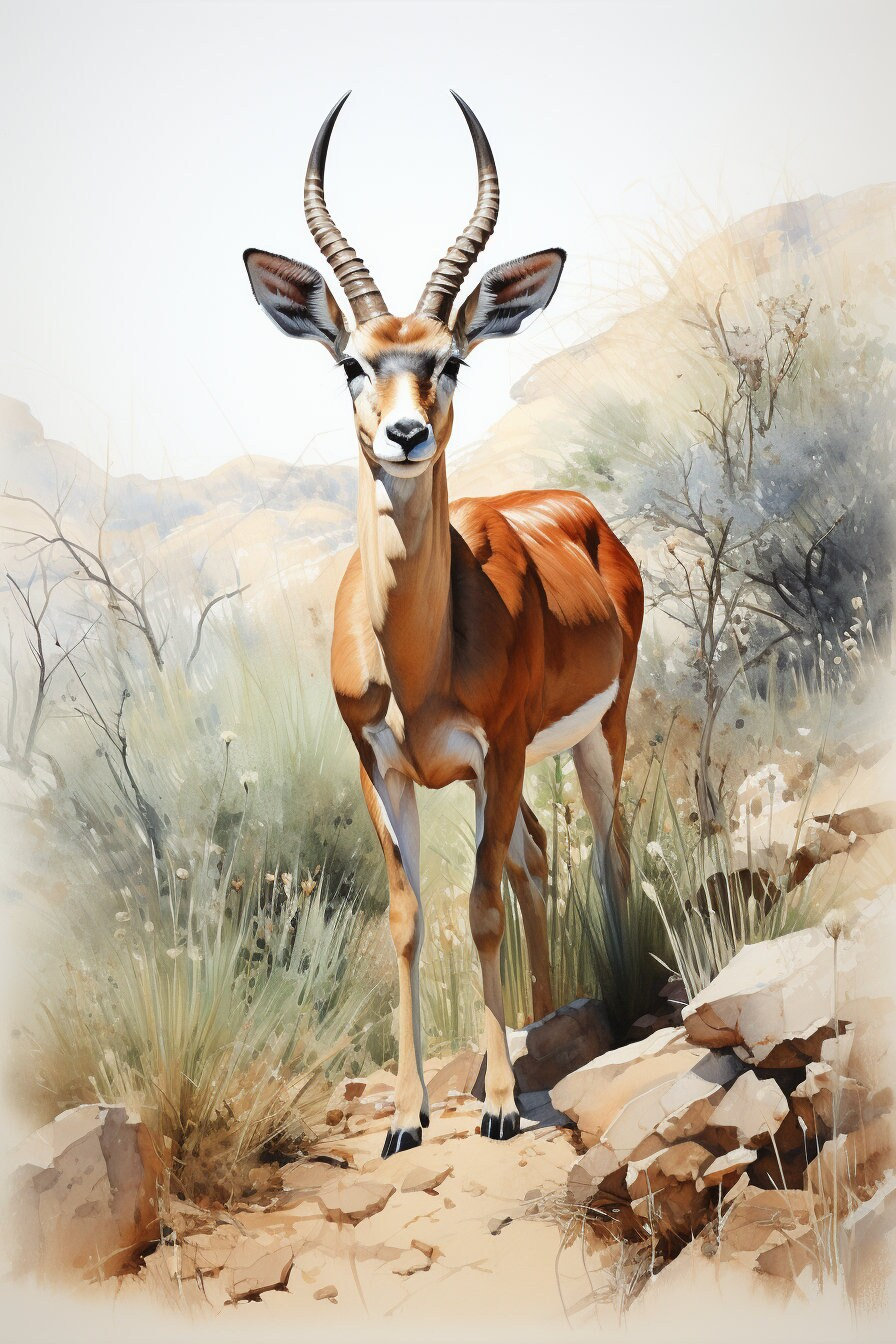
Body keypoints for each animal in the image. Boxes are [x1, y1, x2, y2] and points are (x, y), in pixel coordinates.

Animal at [244, 92, 643, 1157]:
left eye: (450, 359)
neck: (418, 659)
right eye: (352, 361)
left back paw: (622, 1010)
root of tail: (576, 512)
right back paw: (549, 1019)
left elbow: (479, 908)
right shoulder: (384, 764)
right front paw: (406, 1116)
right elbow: (410, 916)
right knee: (538, 856)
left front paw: (500, 1104)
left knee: (604, 851)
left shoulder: (496, 748)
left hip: (598, 731)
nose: (406, 434)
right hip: (504, 772)